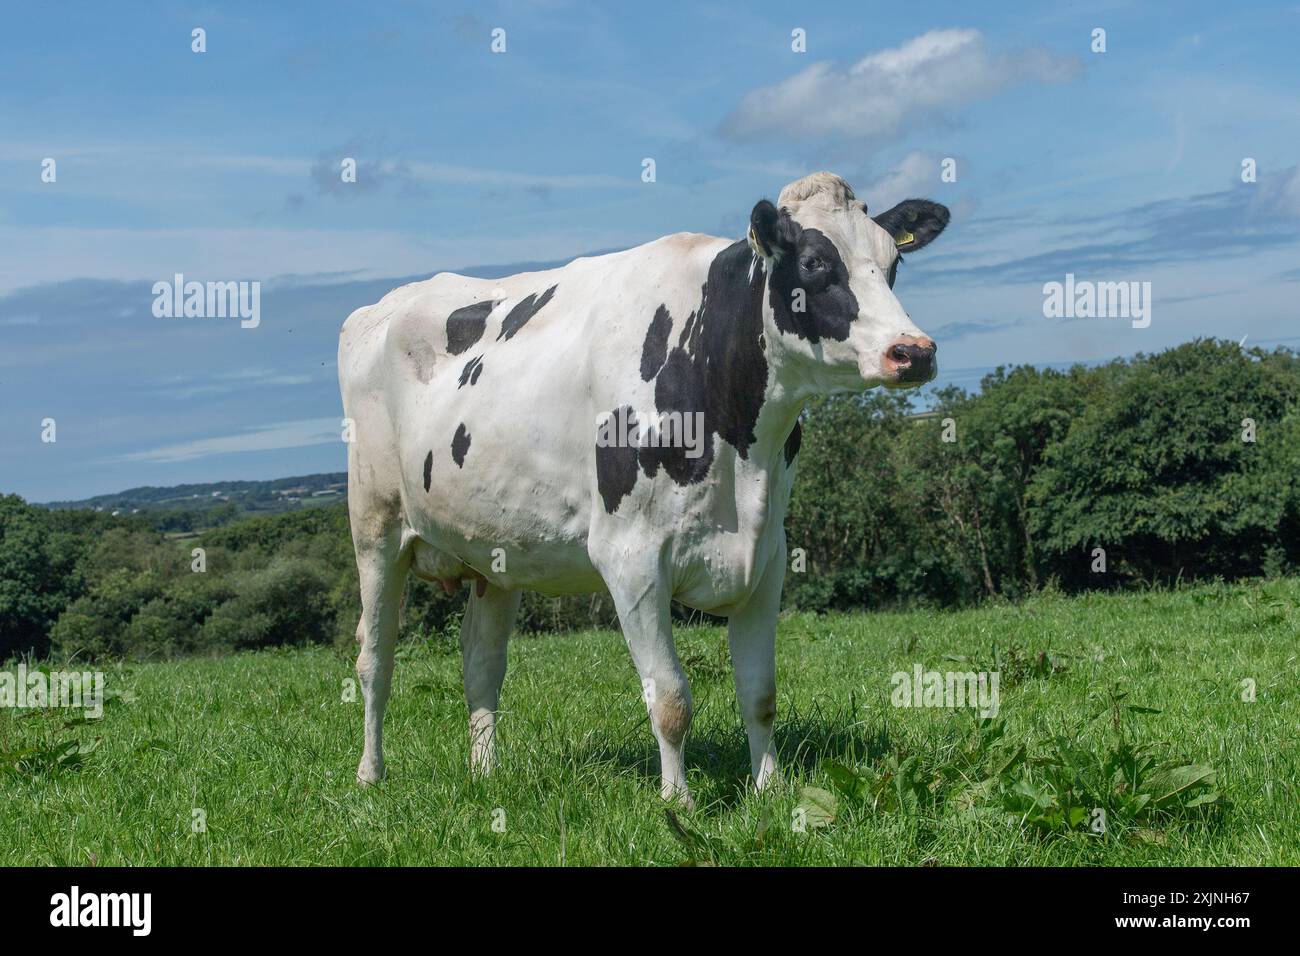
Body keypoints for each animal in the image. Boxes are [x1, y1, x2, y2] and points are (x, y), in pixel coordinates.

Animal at [338, 171, 948, 806]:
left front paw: (771, 791)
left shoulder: (767, 557)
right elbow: (671, 698)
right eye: (813, 262)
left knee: (481, 661)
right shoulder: (630, 558)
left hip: (493, 551)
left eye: (895, 260)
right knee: (374, 658)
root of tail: (384, 305)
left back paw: (486, 775)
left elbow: (760, 692)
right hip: (376, 529)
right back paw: (370, 774)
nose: (914, 351)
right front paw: (678, 802)